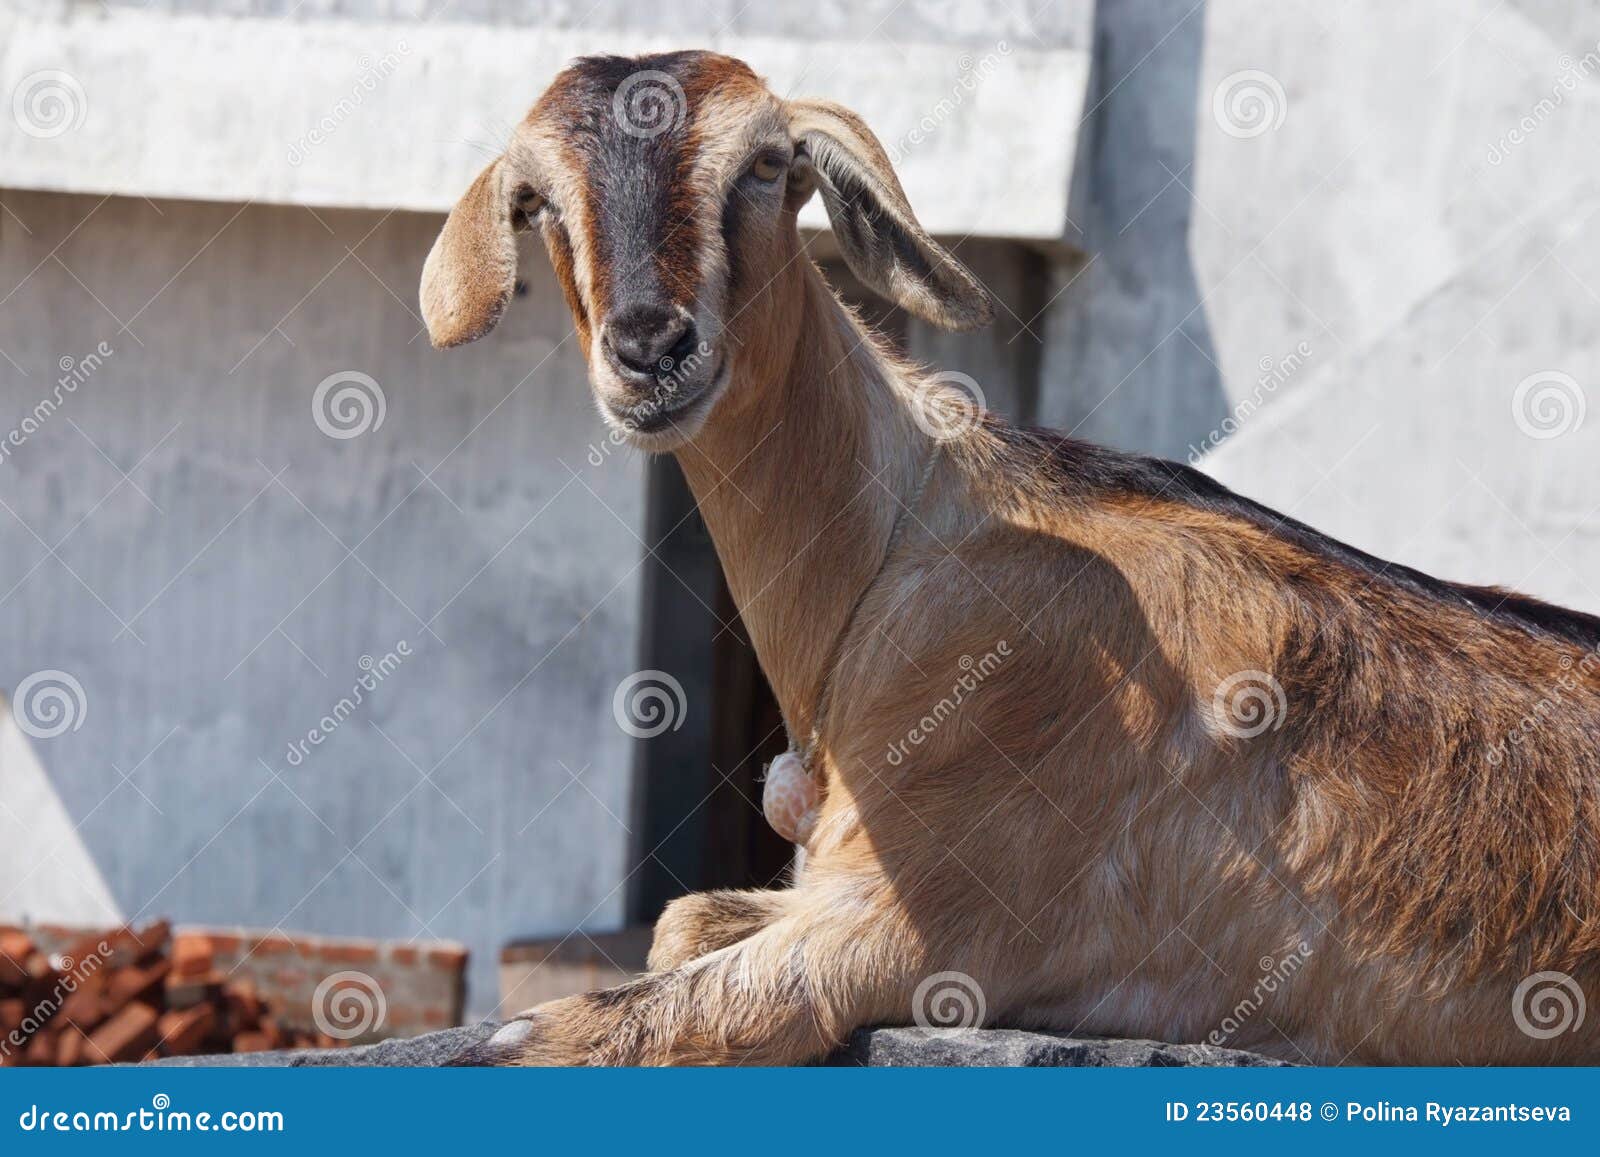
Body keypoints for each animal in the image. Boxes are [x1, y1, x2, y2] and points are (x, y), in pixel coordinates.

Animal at [420, 50, 1600, 1065]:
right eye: (537, 199)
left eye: (764, 163)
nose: (652, 349)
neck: (898, 551)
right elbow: (677, 920)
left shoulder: (911, 921)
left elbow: (561, 1030)